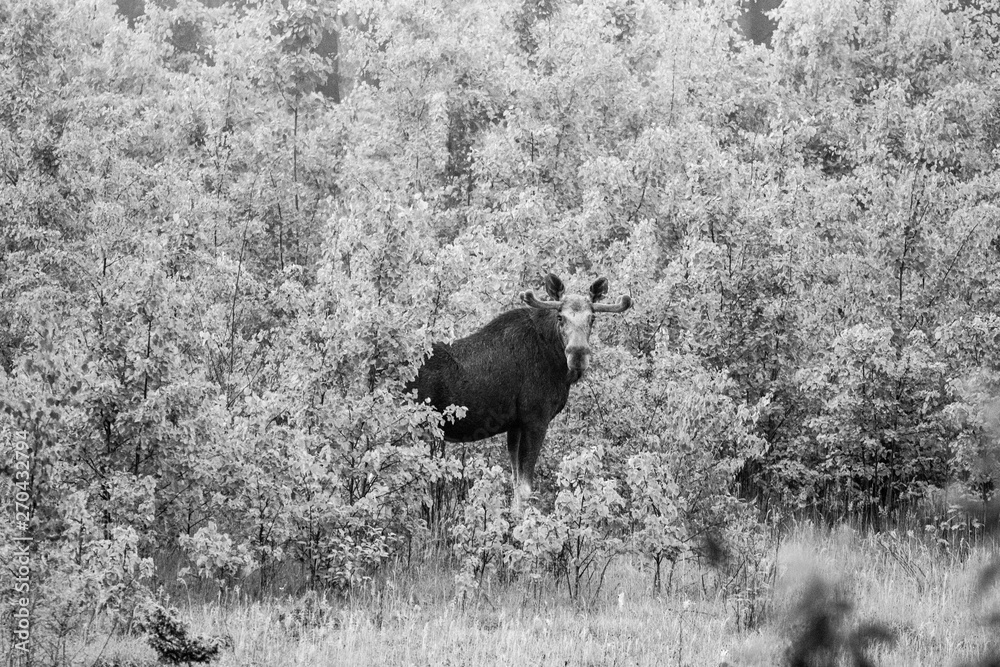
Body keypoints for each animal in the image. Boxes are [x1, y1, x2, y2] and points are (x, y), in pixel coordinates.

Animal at [410, 273, 632, 511]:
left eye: (592, 318)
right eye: (560, 317)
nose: (578, 355)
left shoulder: (515, 425)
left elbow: (515, 485)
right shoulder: (535, 419)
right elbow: (526, 489)